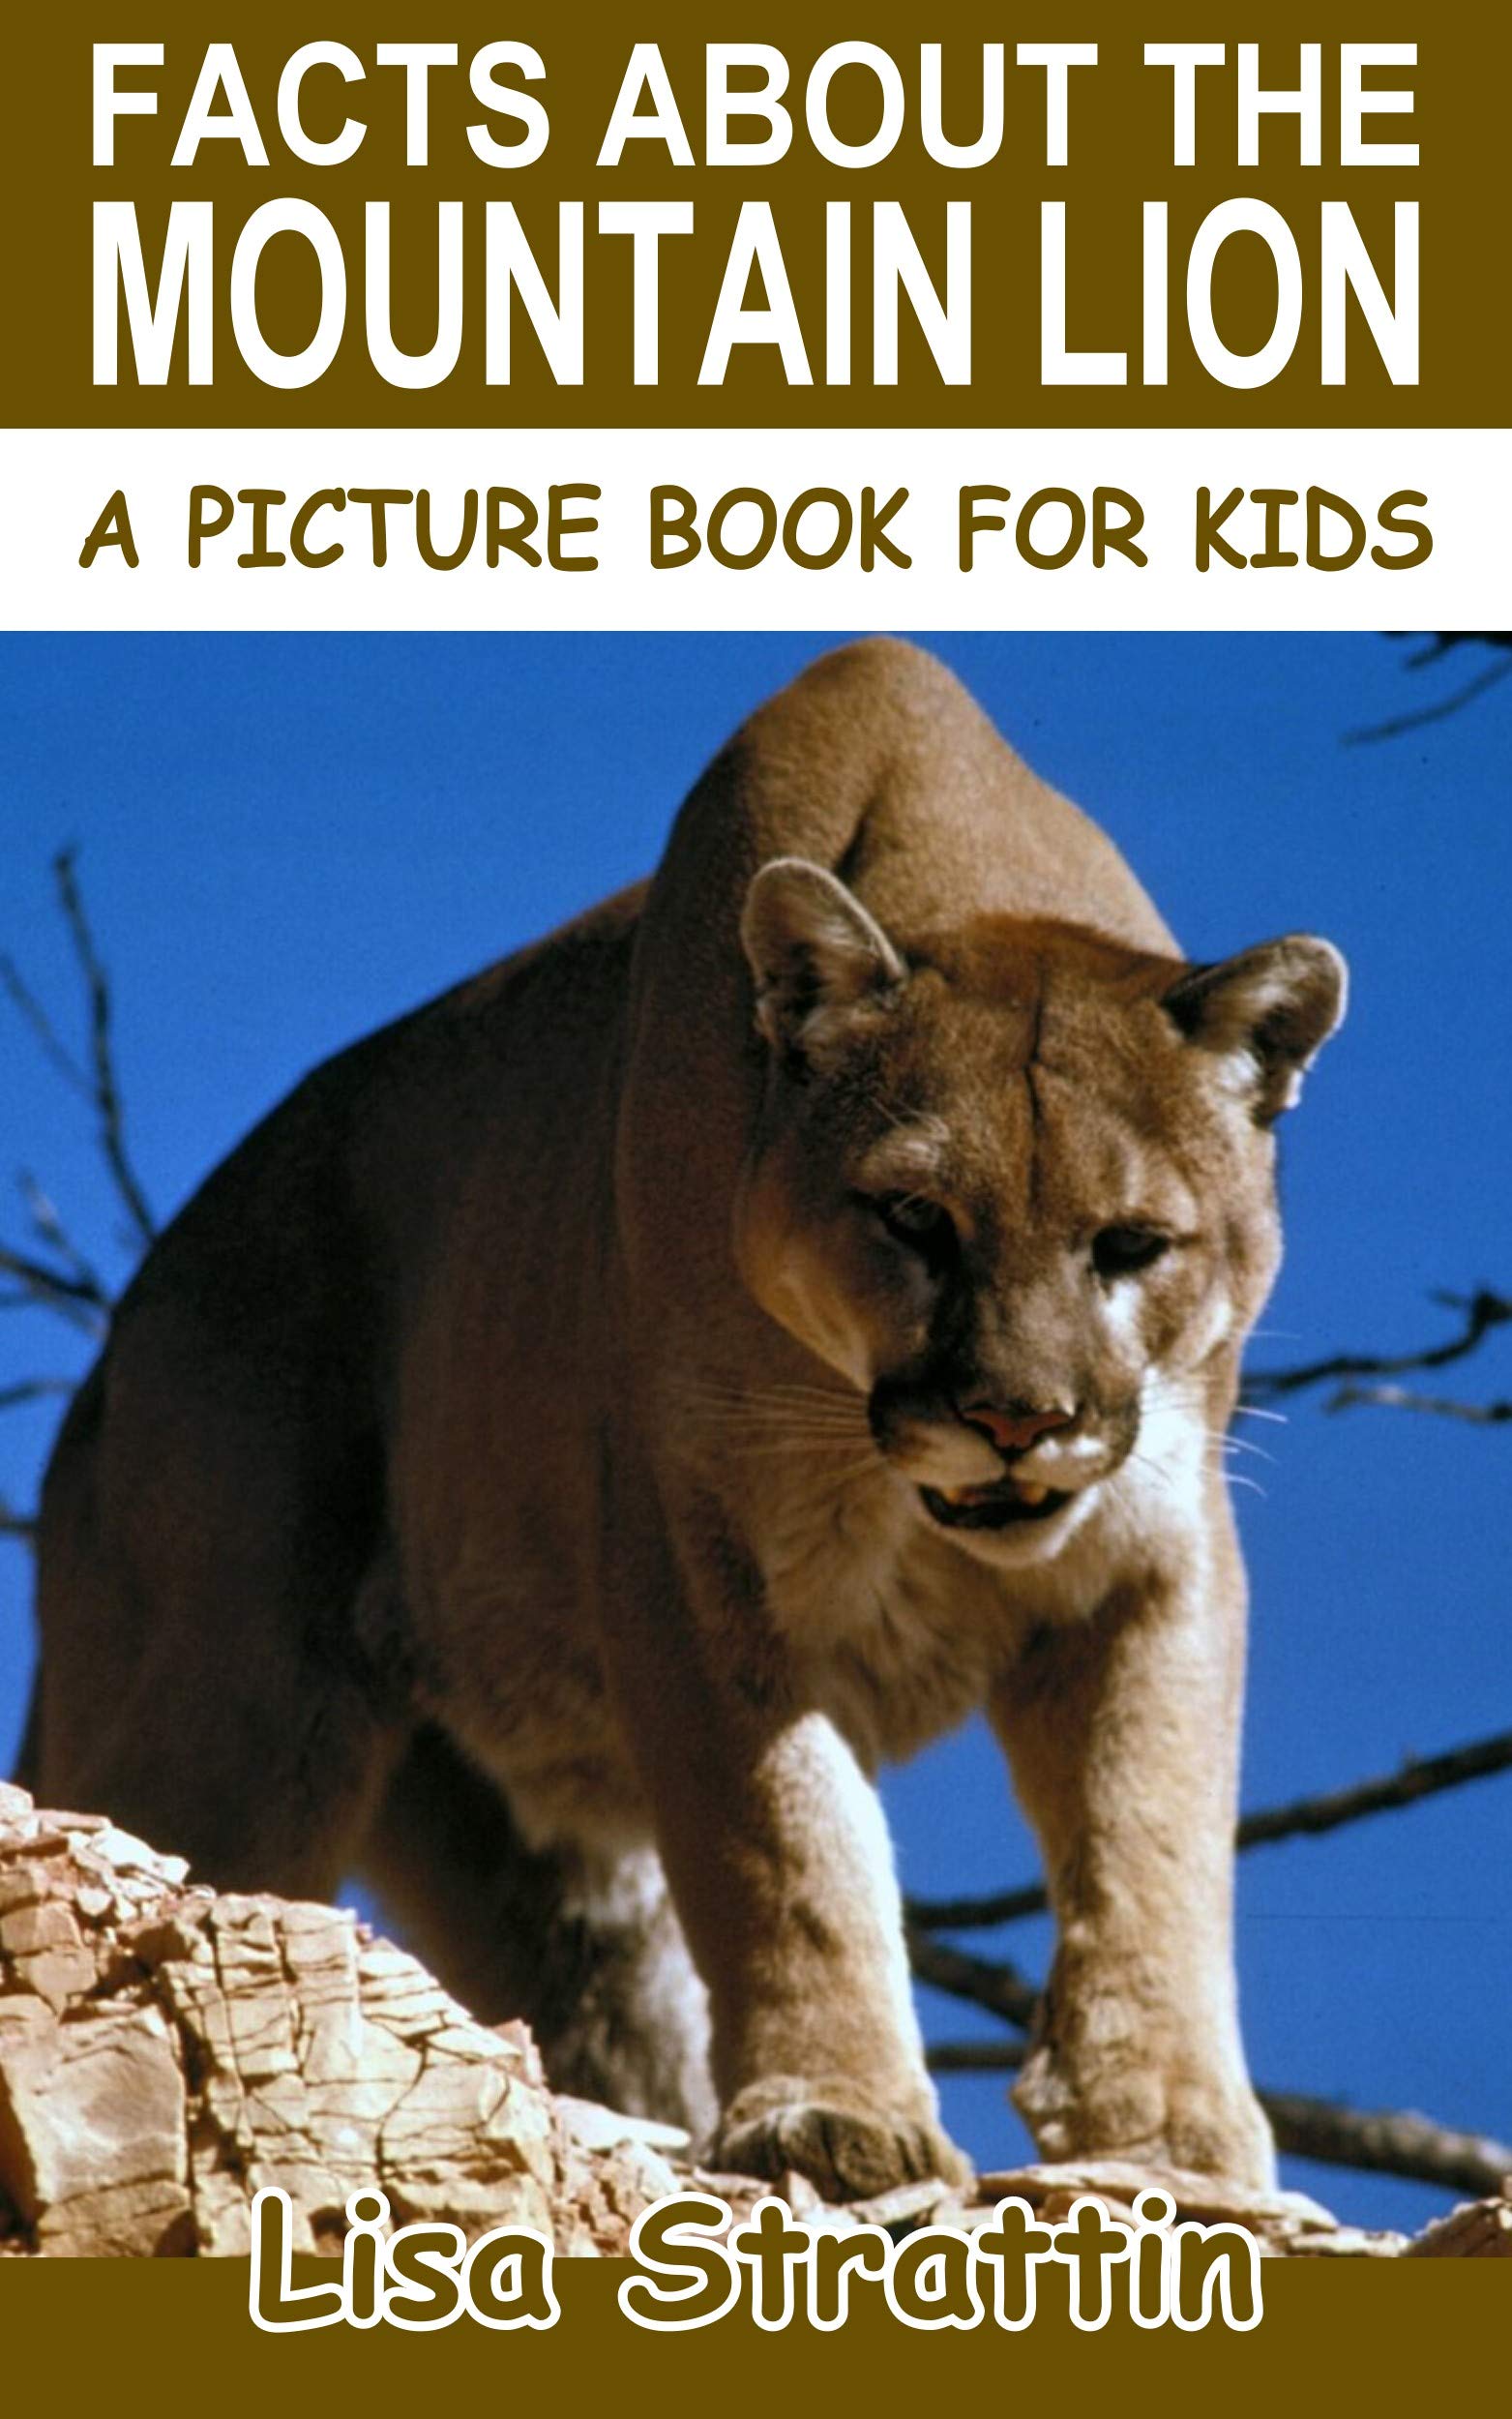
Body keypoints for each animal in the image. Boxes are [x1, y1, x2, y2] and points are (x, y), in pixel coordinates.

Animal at [22, 639, 1345, 2200]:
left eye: (1133, 1245)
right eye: (913, 1218)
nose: (1017, 1420)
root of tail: (117, 1348)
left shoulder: (1154, 1555)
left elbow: (1151, 1839)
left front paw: (1168, 2133)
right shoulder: (691, 1558)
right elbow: (786, 1845)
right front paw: (836, 2115)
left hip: (525, 1856)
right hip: (225, 1712)